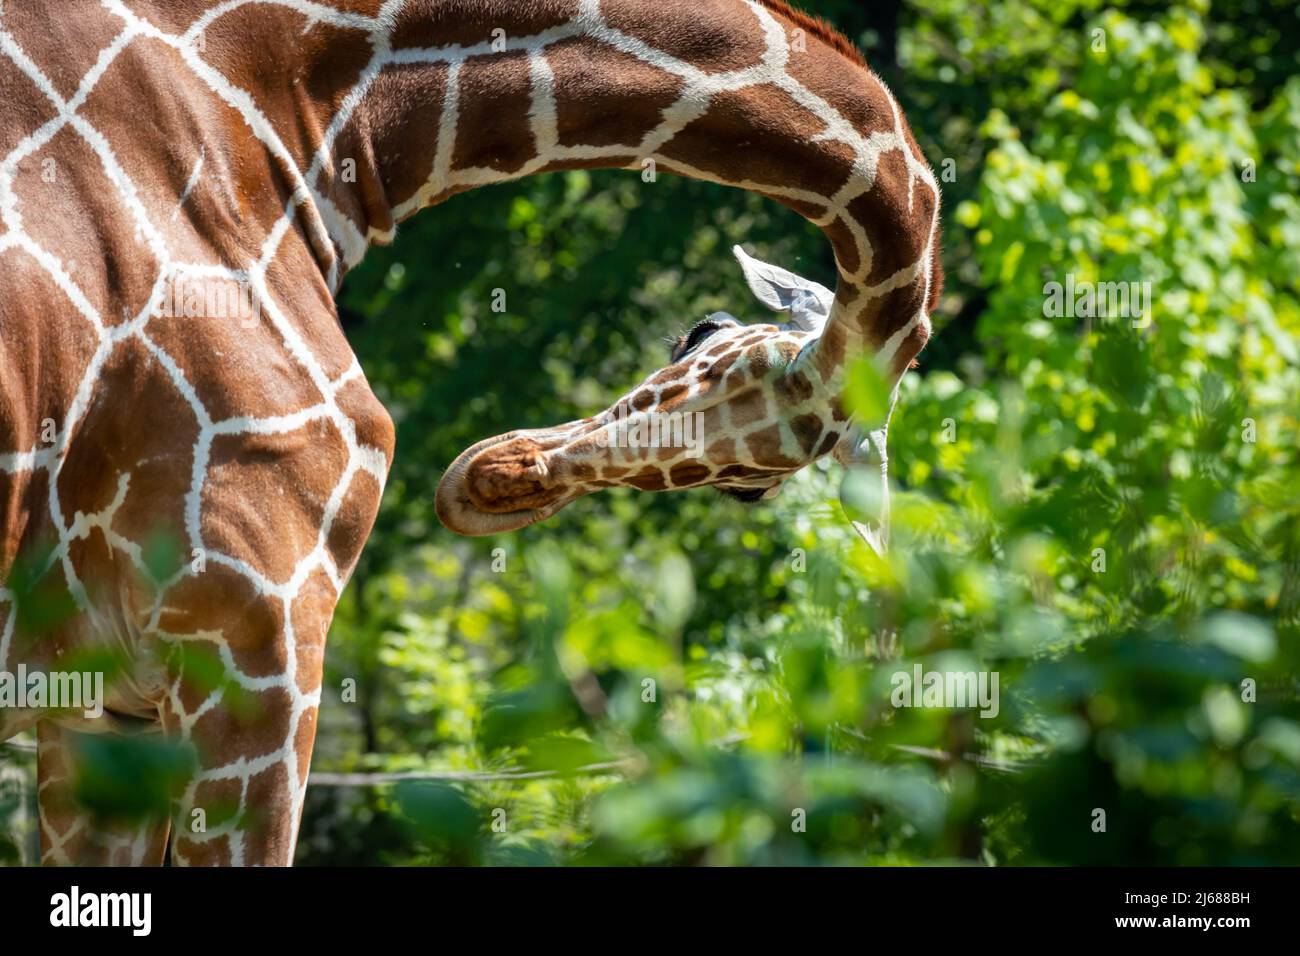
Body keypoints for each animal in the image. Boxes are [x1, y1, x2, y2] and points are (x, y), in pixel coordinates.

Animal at [0, 0, 939, 865]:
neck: (296, 118)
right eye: (698, 333)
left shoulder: (115, 699)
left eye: (753, 487)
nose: (493, 478)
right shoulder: (254, 621)